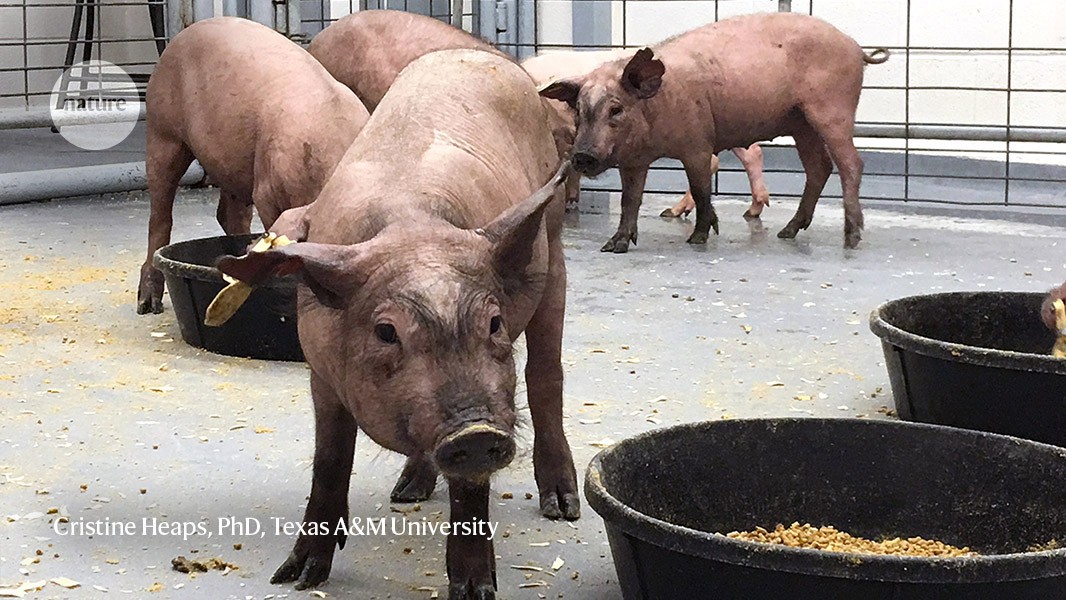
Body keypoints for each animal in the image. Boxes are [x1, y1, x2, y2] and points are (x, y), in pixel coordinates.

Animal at [136, 17, 369, 314]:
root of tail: (181, 35)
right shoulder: (267, 191)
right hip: (162, 130)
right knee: (160, 213)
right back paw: (147, 305)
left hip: (233, 162)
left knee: (229, 213)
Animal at [215, 50, 578, 599]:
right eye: (386, 332)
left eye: (494, 323)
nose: (473, 430)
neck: (411, 225)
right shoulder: (320, 368)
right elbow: (329, 458)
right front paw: (296, 577)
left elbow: (471, 492)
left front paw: (475, 591)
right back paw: (407, 492)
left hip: (552, 250)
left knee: (545, 374)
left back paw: (562, 506)